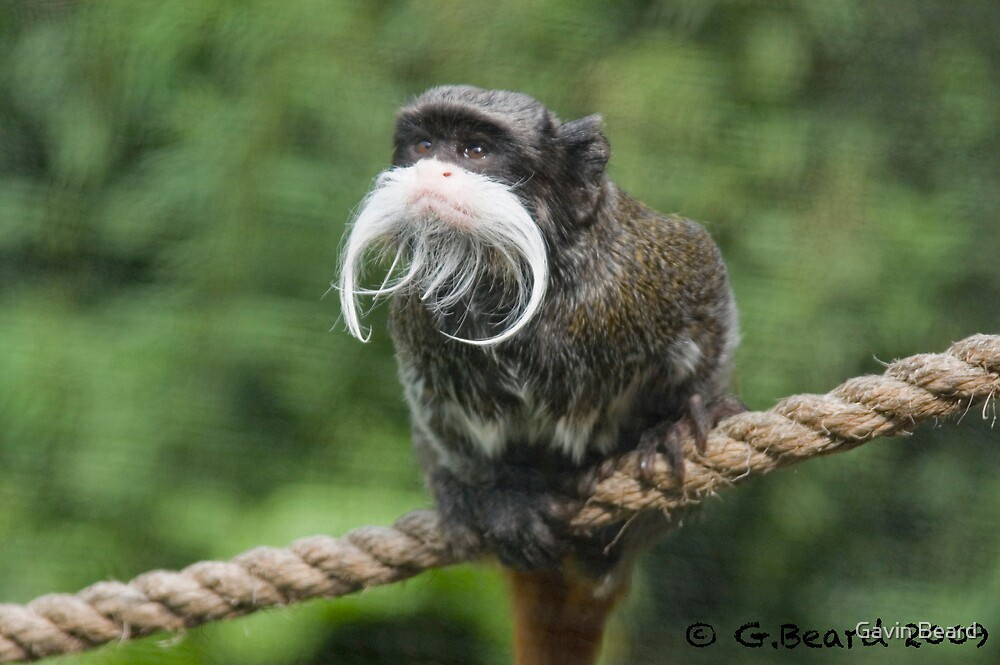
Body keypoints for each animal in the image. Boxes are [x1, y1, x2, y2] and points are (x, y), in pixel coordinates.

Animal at [338, 85, 741, 665]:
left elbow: (710, 308)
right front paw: (506, 500)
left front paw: (677, 424)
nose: (432, 171)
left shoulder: (646, 269)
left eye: (475, 151)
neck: (504, 279)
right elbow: (437, 413)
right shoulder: (416, 320)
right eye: (425, 146)